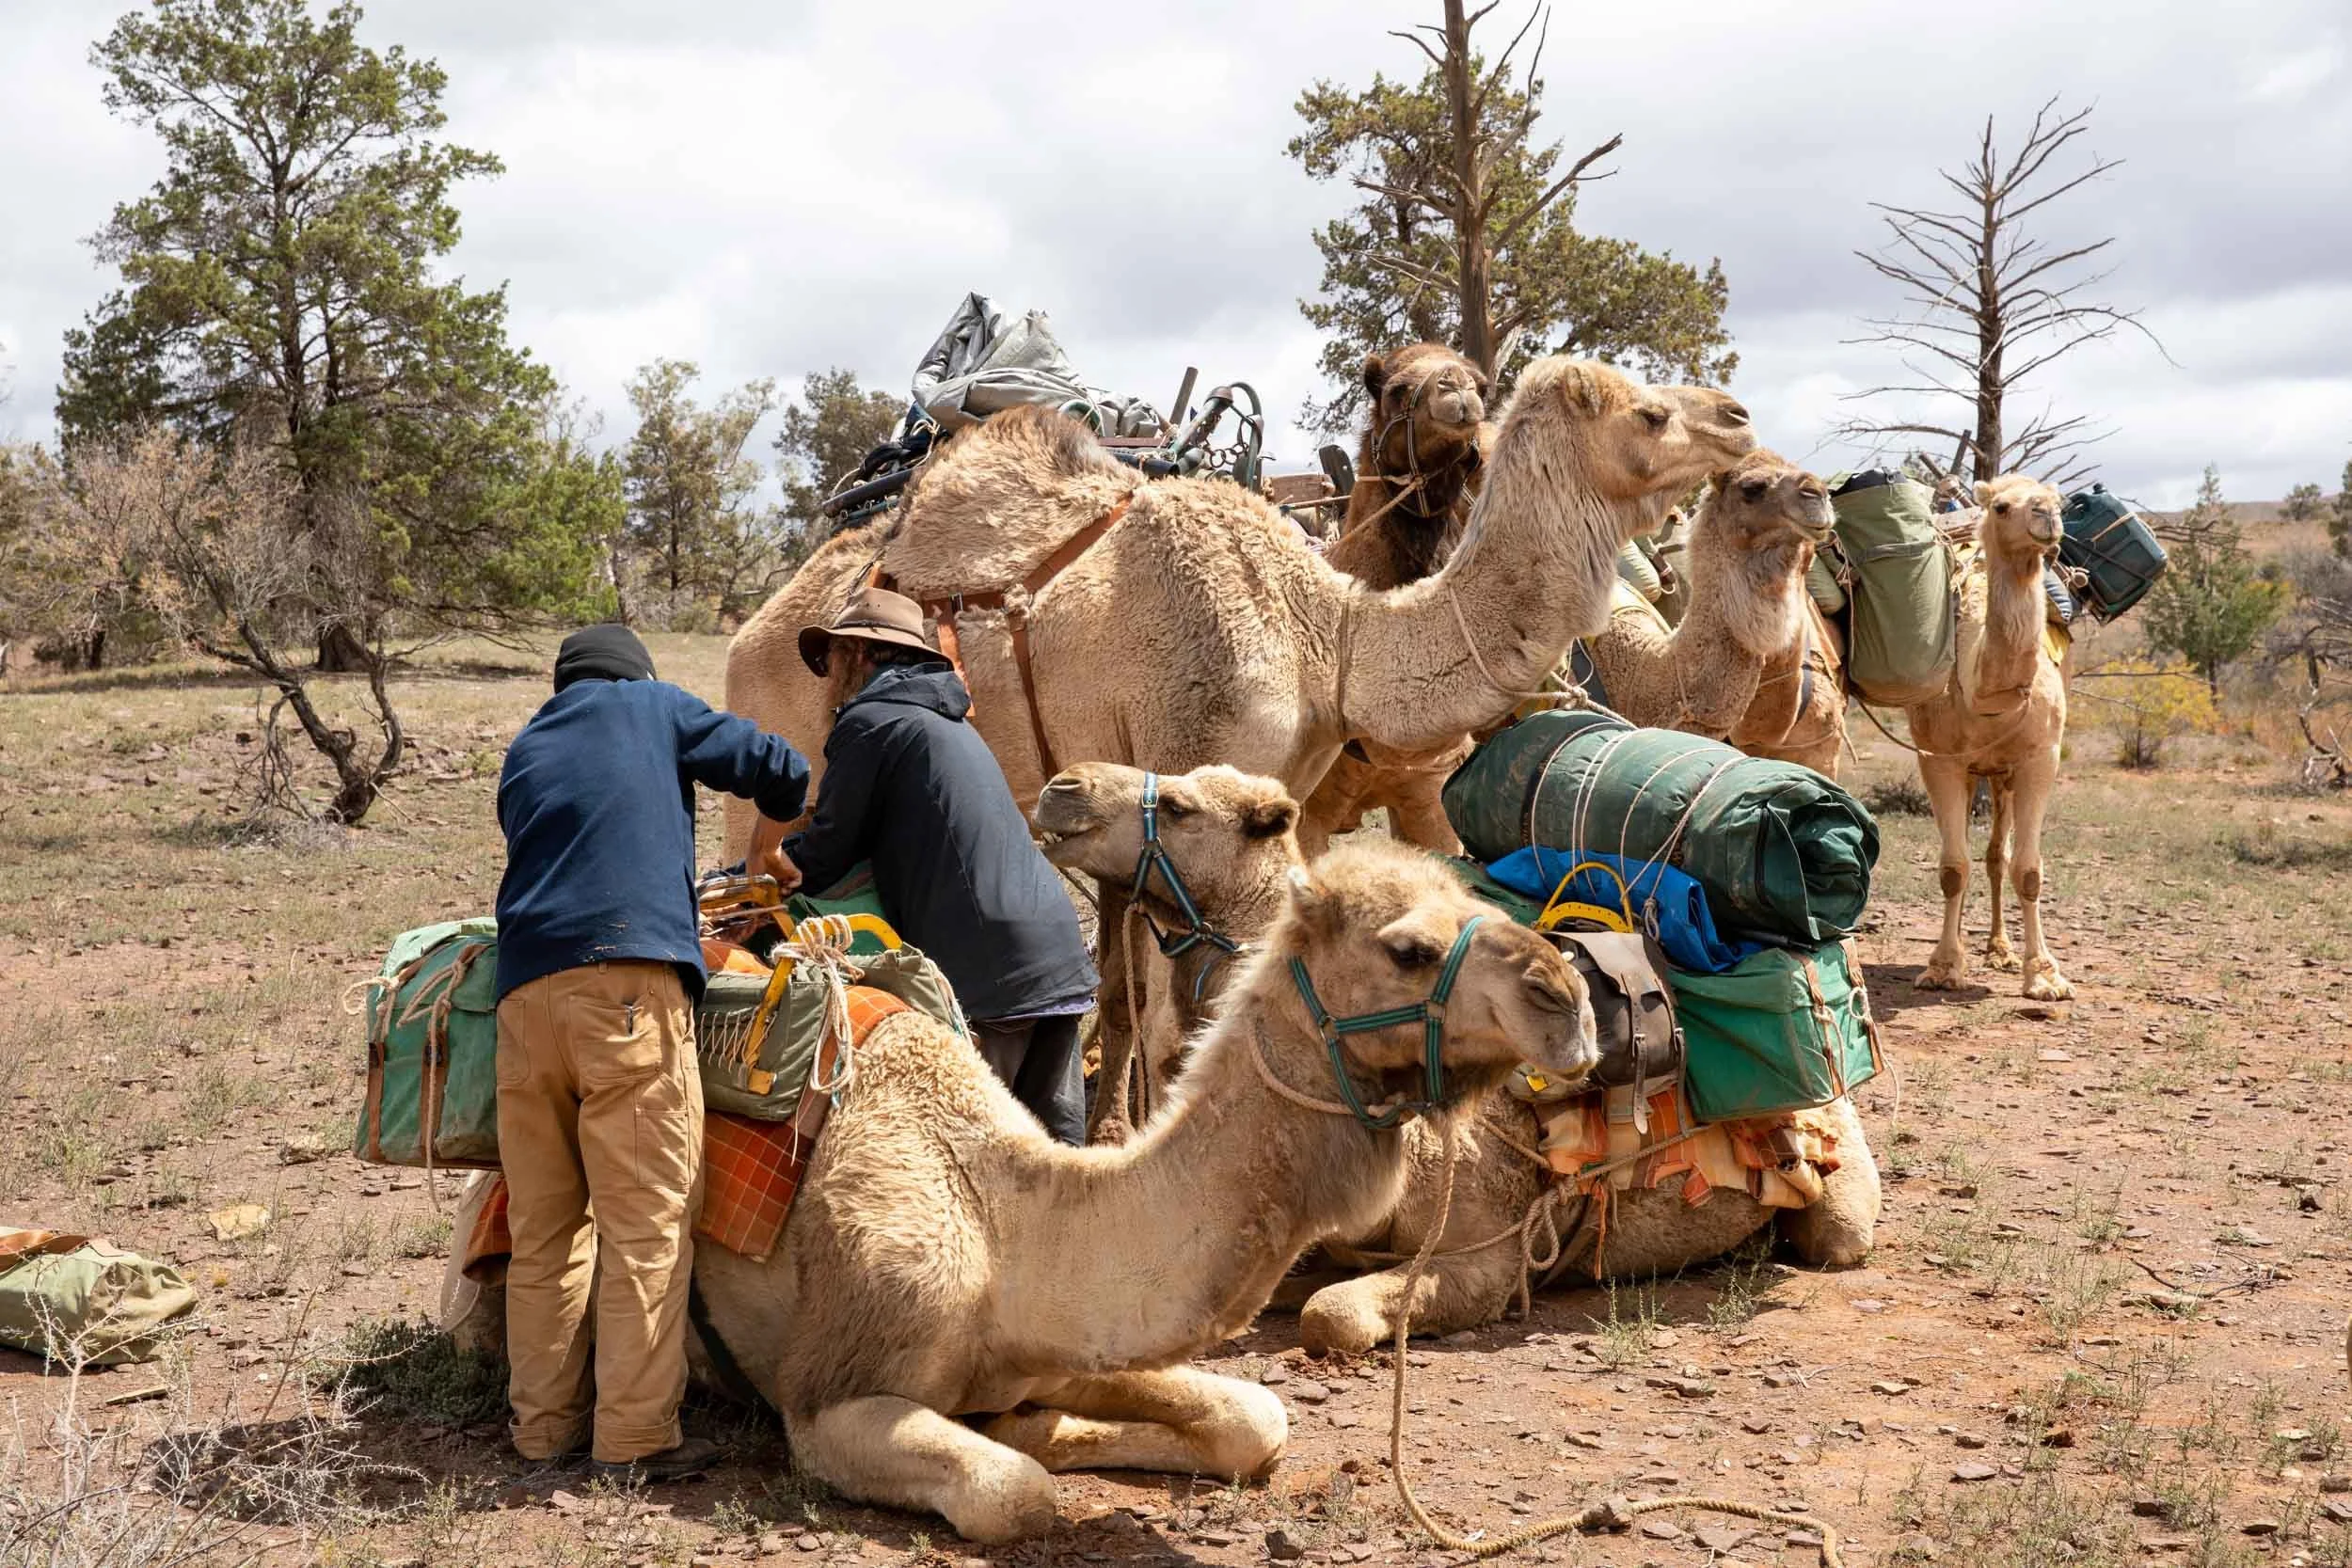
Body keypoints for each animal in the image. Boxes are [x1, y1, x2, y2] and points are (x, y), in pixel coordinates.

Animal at [1036, 760, 1883, 1357]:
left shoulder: (1492, 1258)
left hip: (1840, 1190)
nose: (1061, 787)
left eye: (1179, 805)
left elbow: (1330, 1313)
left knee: (1838, 1235)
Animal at [1908, 474, 2075, 1001]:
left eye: (2060, 500)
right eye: (2001, 507)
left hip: (2001, 775)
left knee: (1997, 856)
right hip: (1973, 771)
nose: (2046, 515)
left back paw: (2000, 949)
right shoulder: (1937, 758)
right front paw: (1943, 966)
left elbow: (2028, 870)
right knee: (1967, 855)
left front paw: (2044, 977)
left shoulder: (2041, 757)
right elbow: (1951, 868)